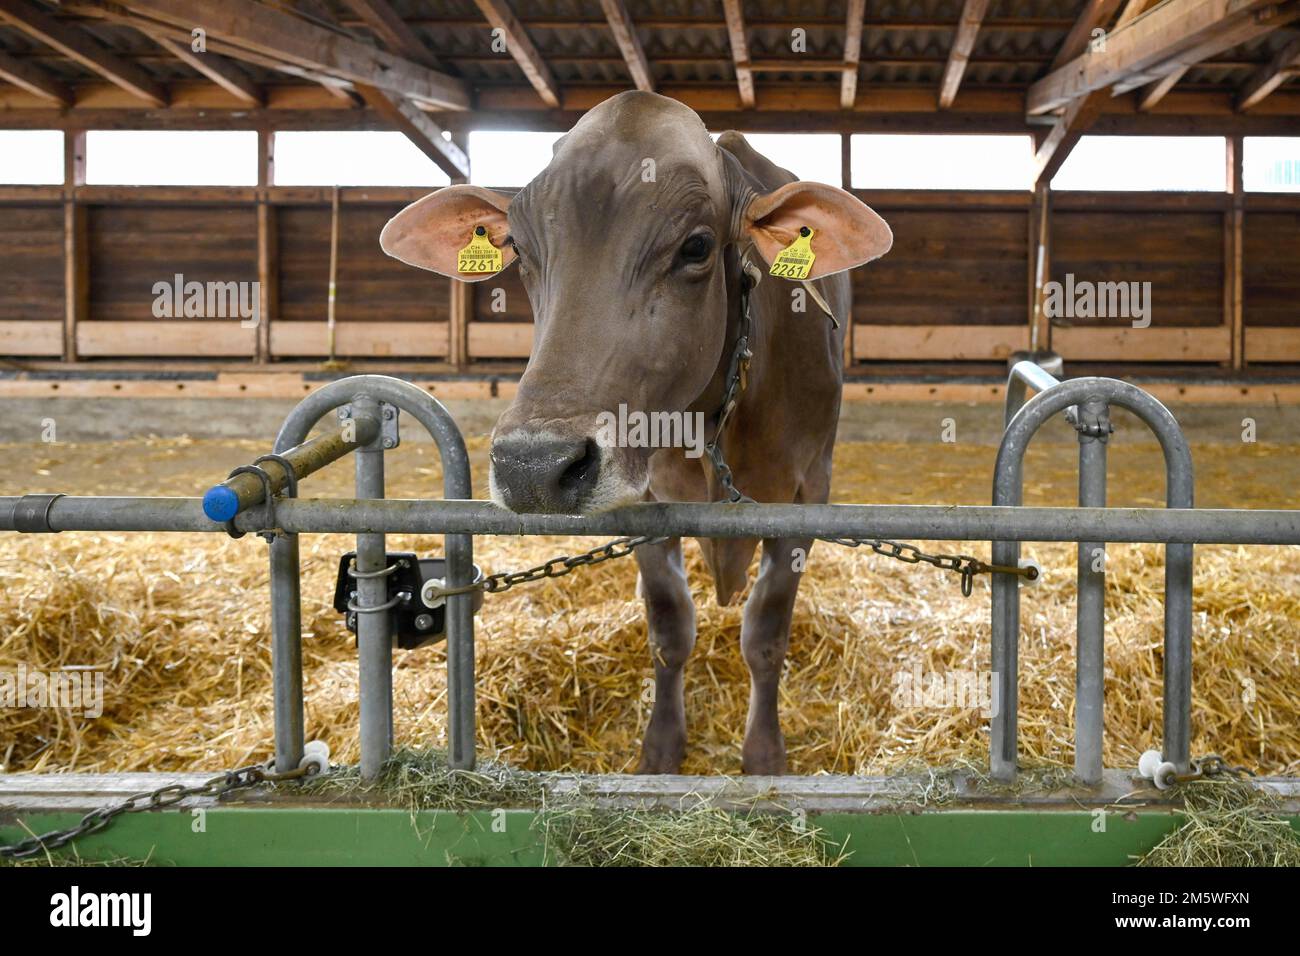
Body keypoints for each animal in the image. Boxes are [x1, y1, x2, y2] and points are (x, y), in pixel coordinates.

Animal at [381, 91, 892, 774]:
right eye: (519, 247)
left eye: (697, 246)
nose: (533, 468)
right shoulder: (645, 501)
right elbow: (670, 628)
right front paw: (661, 750)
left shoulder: (808, 493)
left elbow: (765, 634)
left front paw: (764, 755)